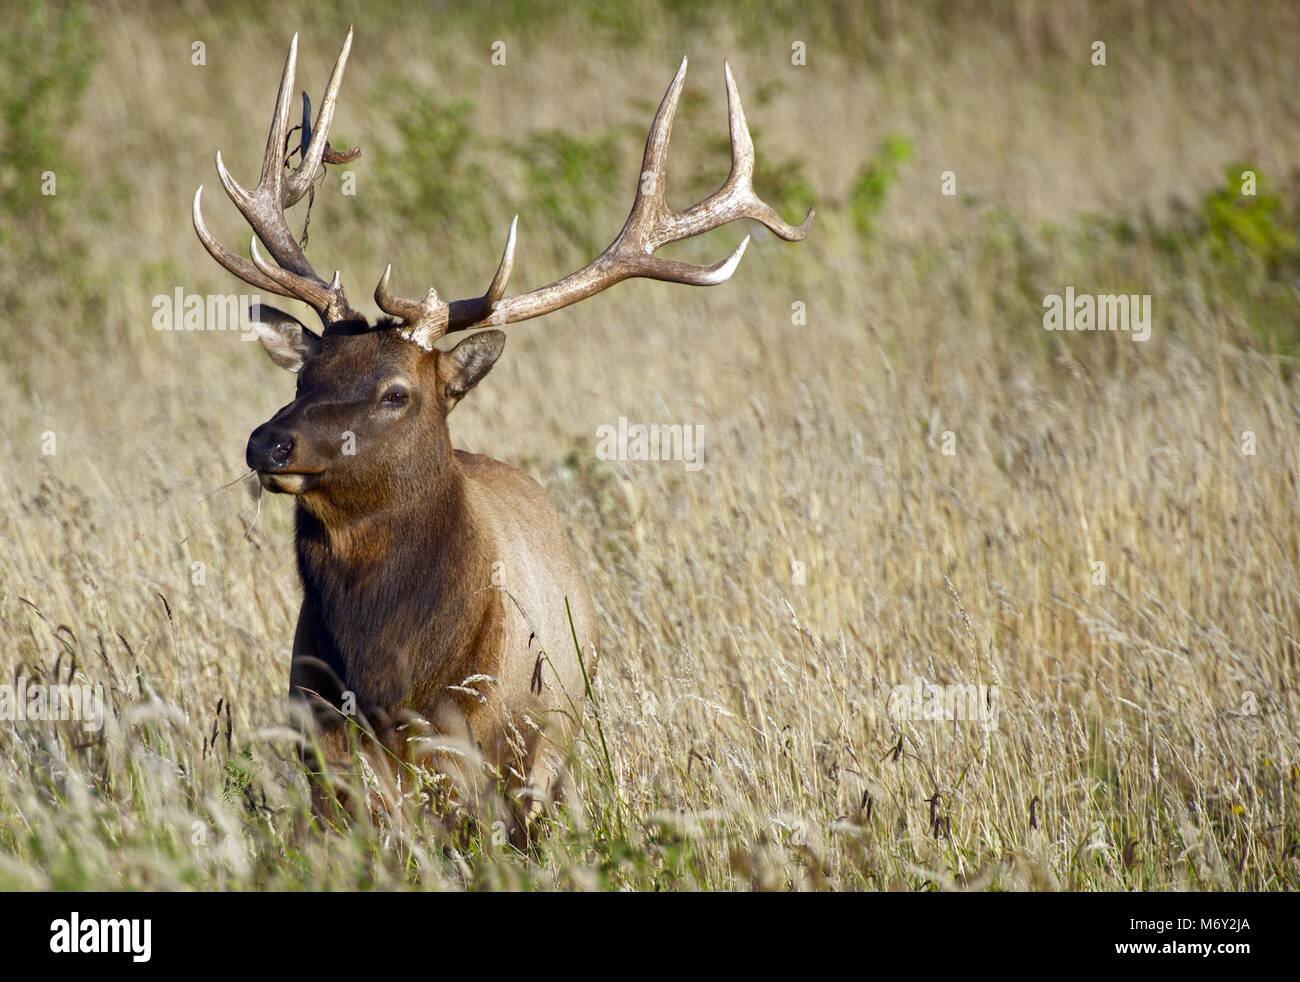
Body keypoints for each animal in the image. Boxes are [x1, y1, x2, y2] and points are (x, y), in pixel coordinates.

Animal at [192, 29, 813, 837]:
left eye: (396, 393)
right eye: (305, 377)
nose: (267, 443)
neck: (388, 676)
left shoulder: (489, 753)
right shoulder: (325, 753)